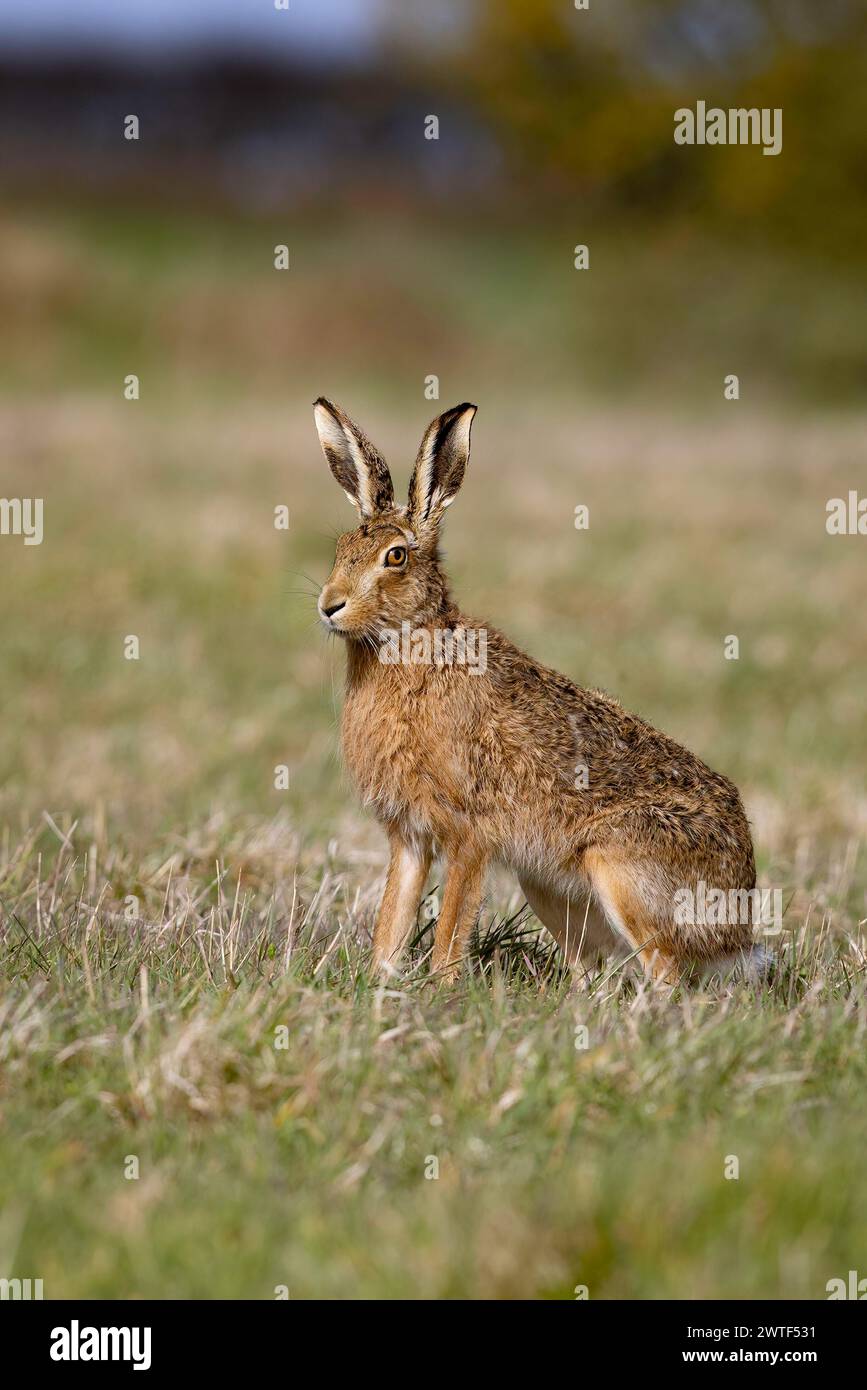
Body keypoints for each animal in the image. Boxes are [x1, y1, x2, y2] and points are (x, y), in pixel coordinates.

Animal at [314, 397, 769, 985]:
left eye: (396, 556)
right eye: (342, 547)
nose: (329, 605)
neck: (412, 642)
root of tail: (737, 928)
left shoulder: (470, 833)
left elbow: (450, 928)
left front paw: (440, 988)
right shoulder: (410, 837)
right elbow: (393, 915)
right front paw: (380, 982)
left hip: (621, 866)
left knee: (666, 974)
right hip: (548, 885)